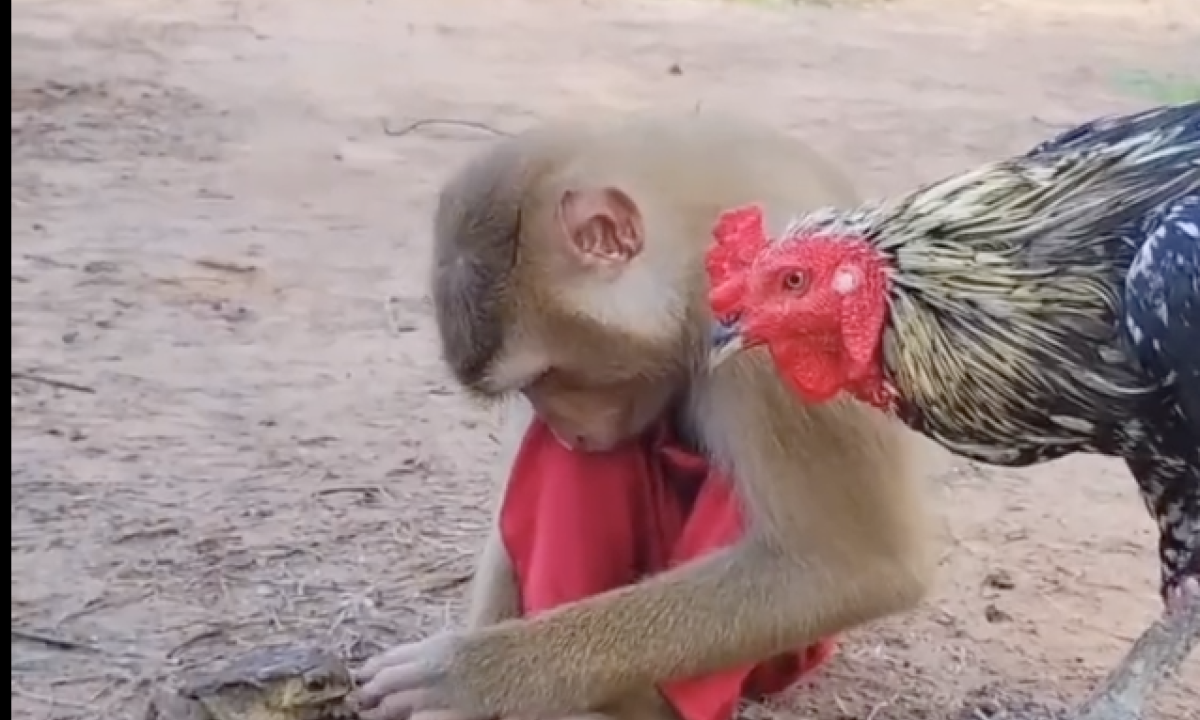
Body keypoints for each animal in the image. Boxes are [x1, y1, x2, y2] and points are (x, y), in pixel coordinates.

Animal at [353, 112, 937, 720]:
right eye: (529, 389)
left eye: (547, 375)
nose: (567, 428)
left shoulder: (792, 332)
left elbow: (854, 564)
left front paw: (470, 677)